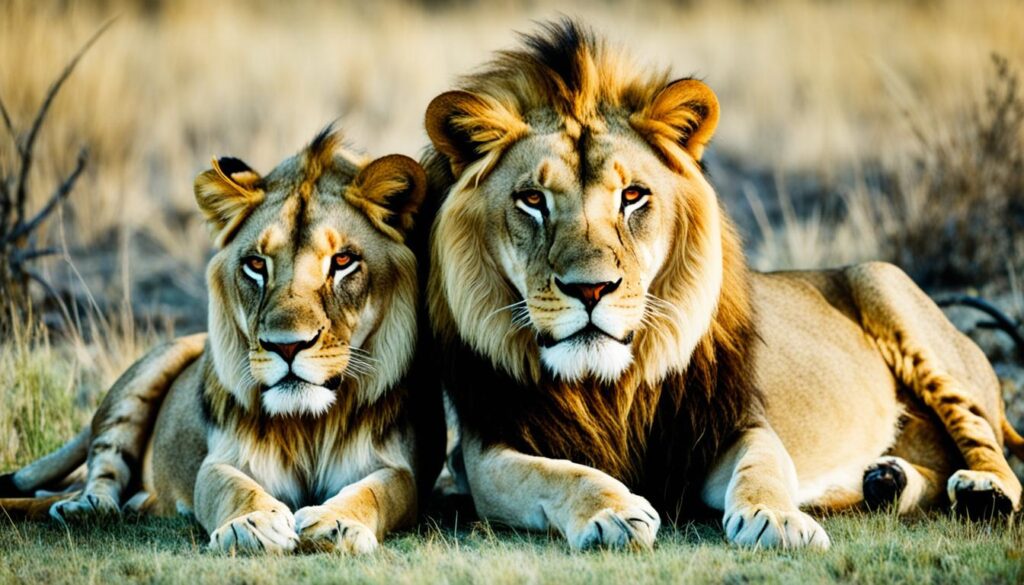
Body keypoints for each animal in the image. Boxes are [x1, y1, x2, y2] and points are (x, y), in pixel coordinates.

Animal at [0, 127, 446, 554]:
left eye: (342, 261)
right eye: (256, 265)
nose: (286, 346)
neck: (308, 425)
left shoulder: (398, 469)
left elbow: (373, 493)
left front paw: (337, 524)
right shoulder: (221, 461)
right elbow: (234, 488)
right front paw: (252, 525)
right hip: (145, 374)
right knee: (102, 469)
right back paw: (85, 507)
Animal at [422, 20, 1024, 550]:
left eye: (633, 196)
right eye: (532, 200)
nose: (591, 290)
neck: (608, 388)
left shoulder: (733, 425)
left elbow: (763, 467)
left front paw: (777, 521)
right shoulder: (486, 455)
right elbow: (558, 474)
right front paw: (611, 512)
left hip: (887, 284)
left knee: (986, 442)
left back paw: (982, 490)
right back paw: (886, 481)